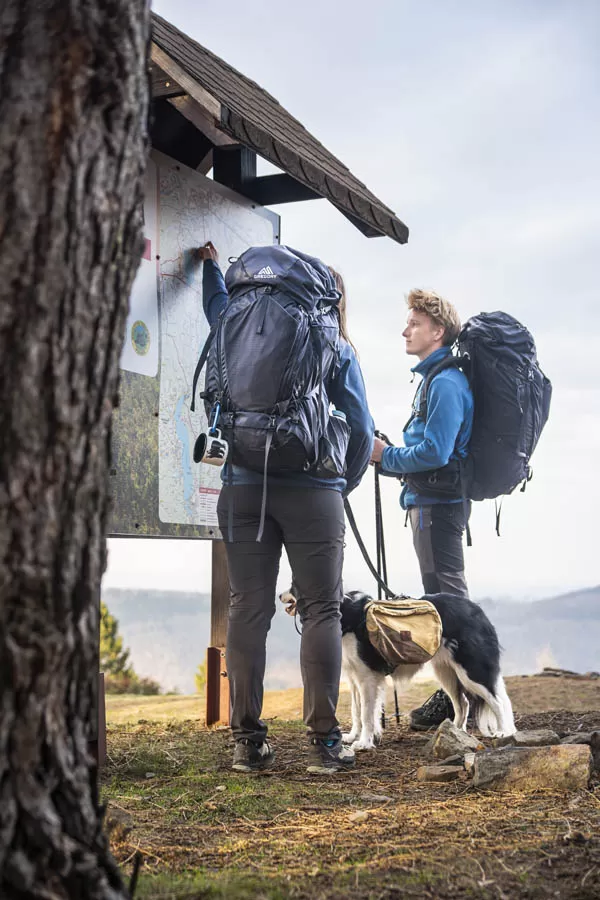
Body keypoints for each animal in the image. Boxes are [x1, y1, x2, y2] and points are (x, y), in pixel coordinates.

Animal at [282, 588, 516, 748]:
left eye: (294, 586)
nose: (279, 595)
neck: (346, 614)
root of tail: (478, 610)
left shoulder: (368, 678)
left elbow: (366, 713)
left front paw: (364, 743)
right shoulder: (354, 677)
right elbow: (357, 711)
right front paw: (354, 736)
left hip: (471, 670)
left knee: (499, 702)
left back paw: (504, 732)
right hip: (446, 672)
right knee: (463, 703)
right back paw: (456, 734)